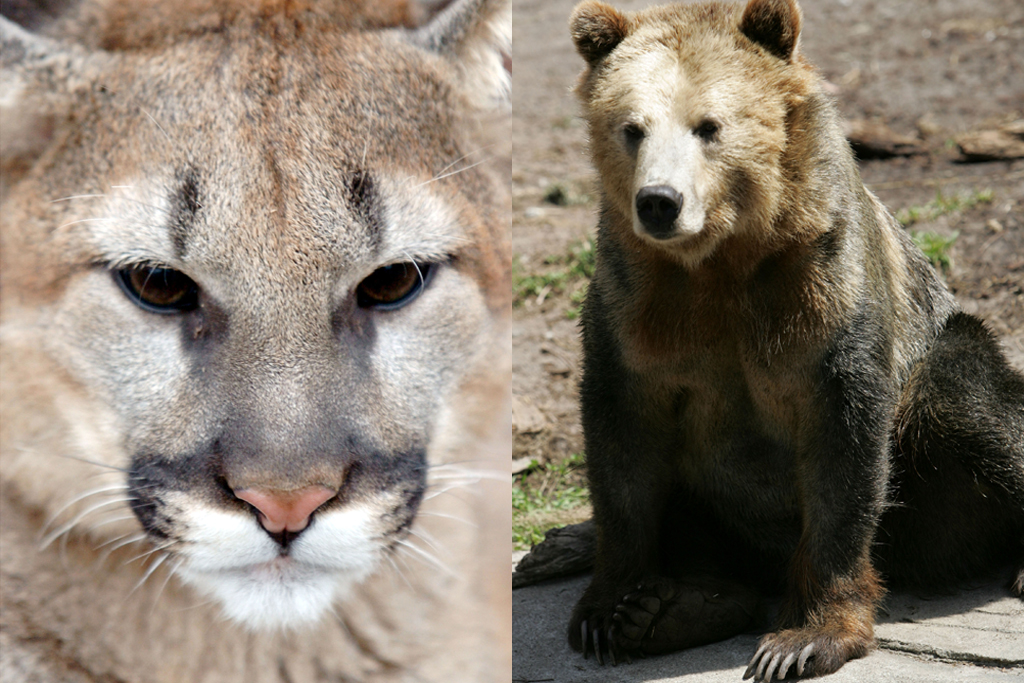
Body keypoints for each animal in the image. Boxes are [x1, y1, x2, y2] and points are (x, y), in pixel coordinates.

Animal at [566, 0, 1024, 680]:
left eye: (708, 126)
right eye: (632, 128)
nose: (659, 203)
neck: (721, 259)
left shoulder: (821, 285)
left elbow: (843, 453)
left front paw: (805, 638)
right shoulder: (635, 307)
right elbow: (623, 446)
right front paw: (607, 609)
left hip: (938, 423)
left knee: (963, 406)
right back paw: (670, 610)